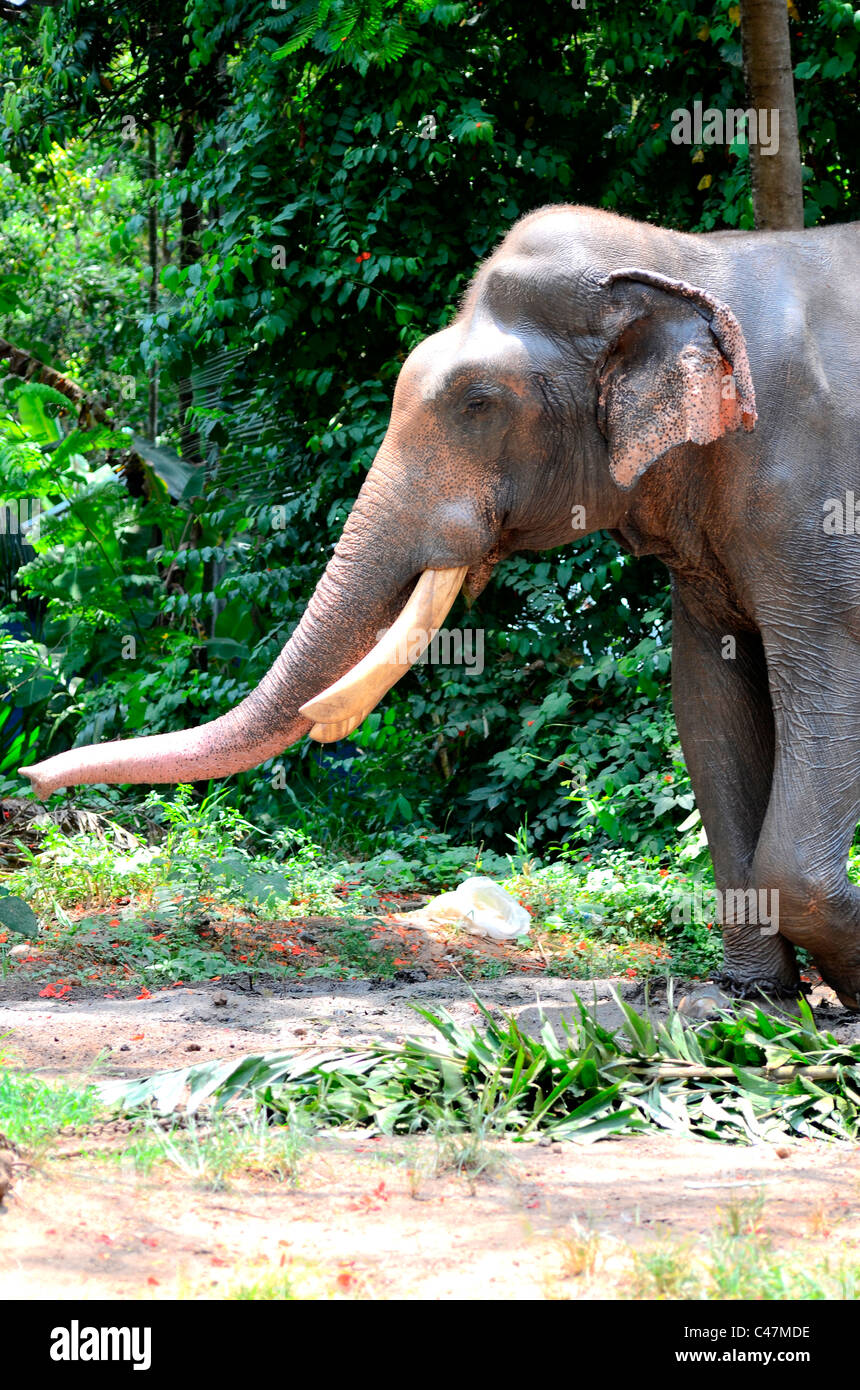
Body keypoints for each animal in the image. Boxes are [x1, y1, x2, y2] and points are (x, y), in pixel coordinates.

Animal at [20, 204, 860, 1009]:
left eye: (478, 402)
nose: (30, 778)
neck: (688, 255)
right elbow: (708, 704)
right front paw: (747, 997)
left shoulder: (817, 506)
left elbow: (824, 682)